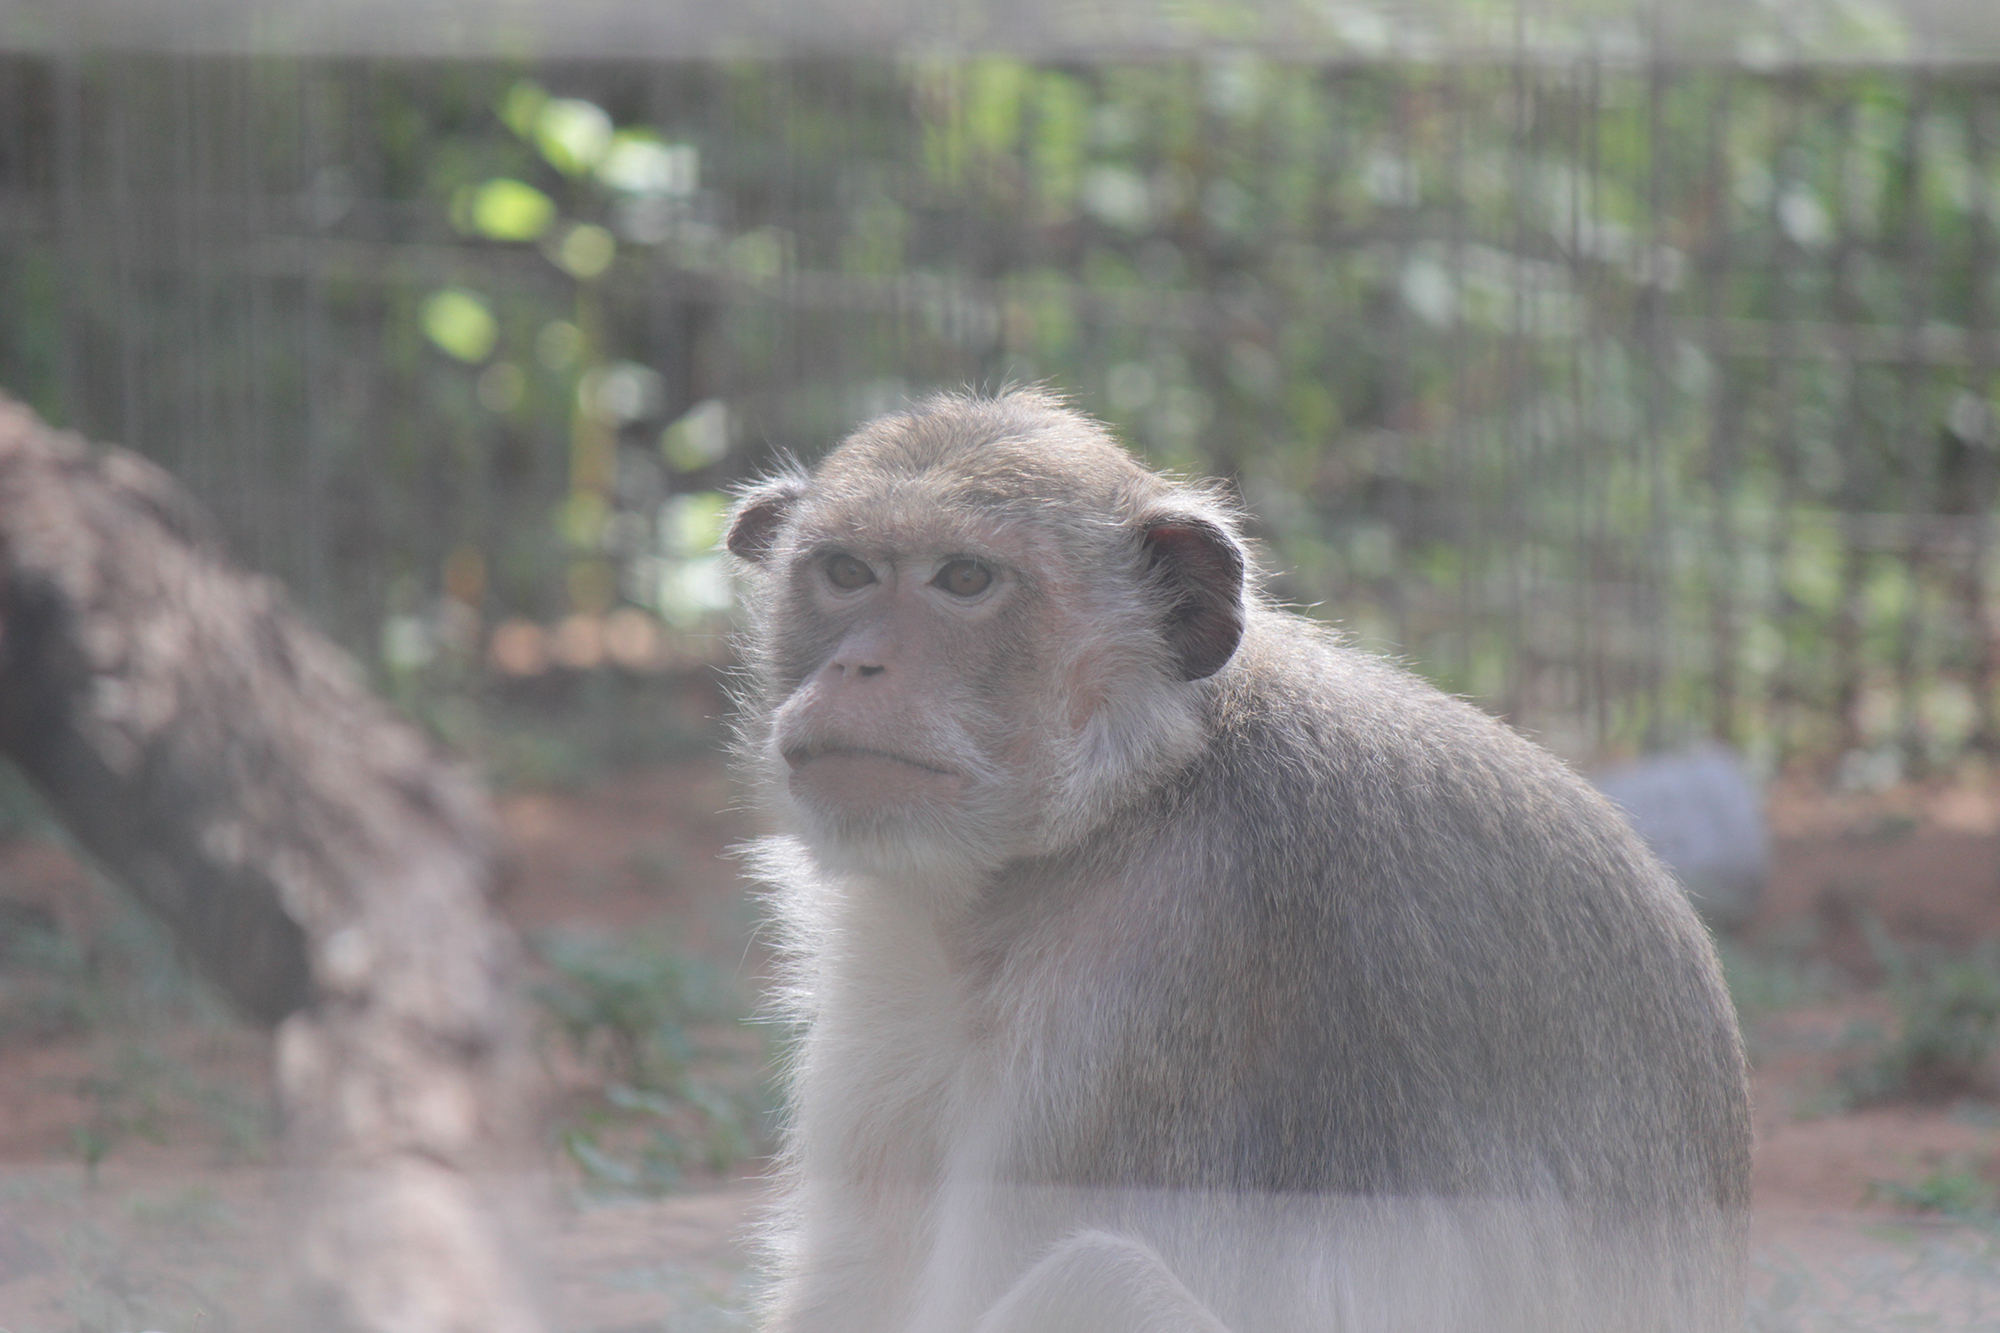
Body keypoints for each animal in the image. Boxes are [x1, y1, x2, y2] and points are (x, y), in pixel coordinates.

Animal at [724, 388, 1751, 1333]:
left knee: (1098, 1277)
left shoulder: (1158, 966)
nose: (857, 667)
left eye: (965, 578)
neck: (1115, 811)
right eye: (846, 572)